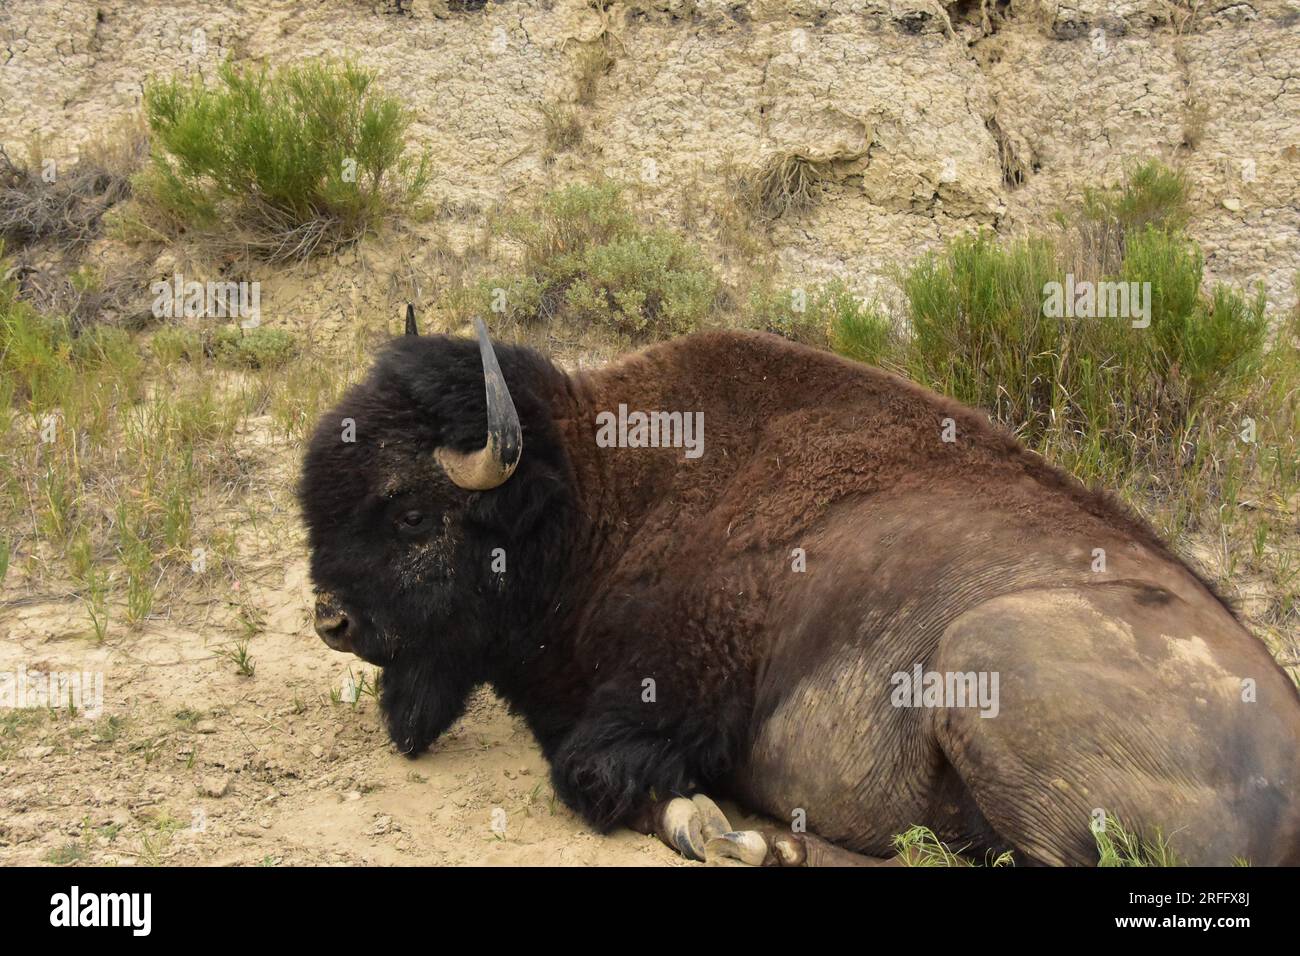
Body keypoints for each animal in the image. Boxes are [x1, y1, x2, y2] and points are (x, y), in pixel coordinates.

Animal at [299, 309, 1300, 865]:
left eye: (412, 515)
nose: (331, 620)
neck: (598, 494)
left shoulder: (661, 702)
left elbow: (594, 774)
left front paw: (712, 827)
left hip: (982, 653)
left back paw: (767, 840)